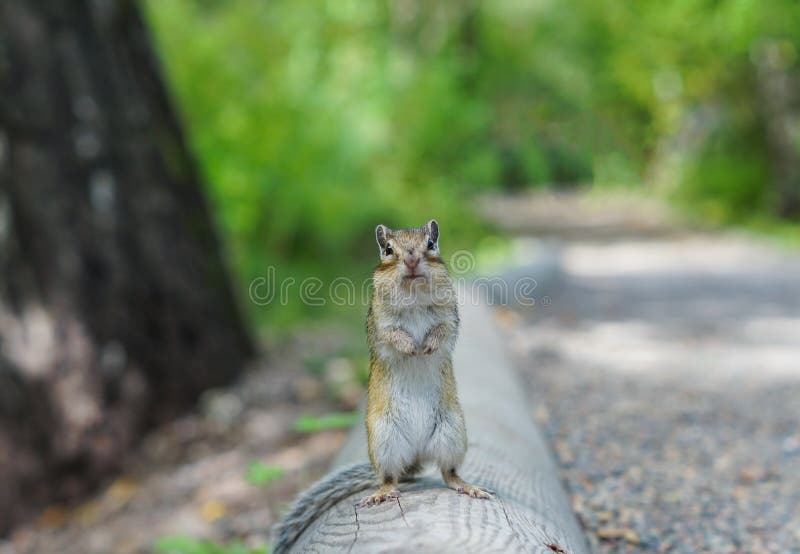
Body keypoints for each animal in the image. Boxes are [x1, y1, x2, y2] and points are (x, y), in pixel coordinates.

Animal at [272, 220, 490, 554]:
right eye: (388, 250)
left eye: (430, 245)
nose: (411, 260)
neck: (413, 296)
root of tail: (416, 455)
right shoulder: (380, 322)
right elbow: (391, 336)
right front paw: (410, 347)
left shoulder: (450, 316)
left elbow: (444, 330)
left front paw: (428, 344)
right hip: (385, 441)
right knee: (390, 478)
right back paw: (382, 493)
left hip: (451, 434)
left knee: (448, 472)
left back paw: (466, 487)